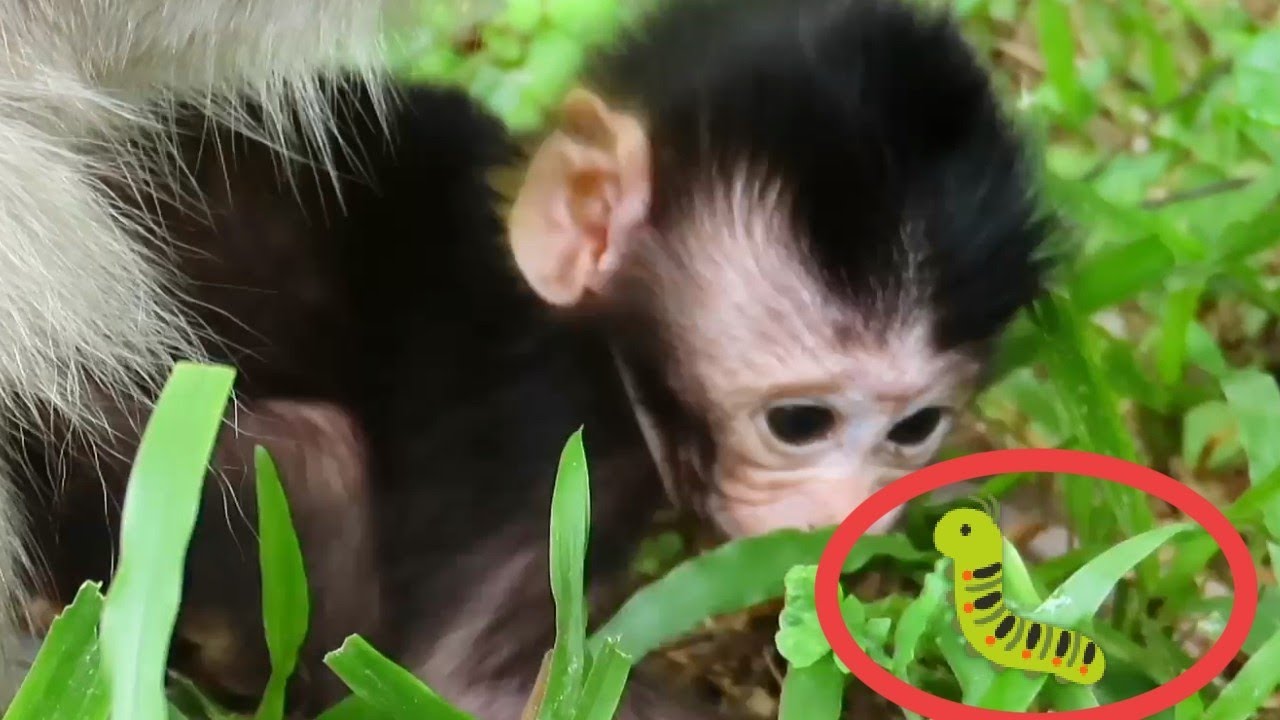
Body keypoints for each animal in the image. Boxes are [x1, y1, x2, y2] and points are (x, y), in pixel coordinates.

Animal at [14, 0, 1059, 717]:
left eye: (914, 429)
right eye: (799, 423)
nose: (850, 509)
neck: (584, 332)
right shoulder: (547, 434)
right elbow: (465, 681)